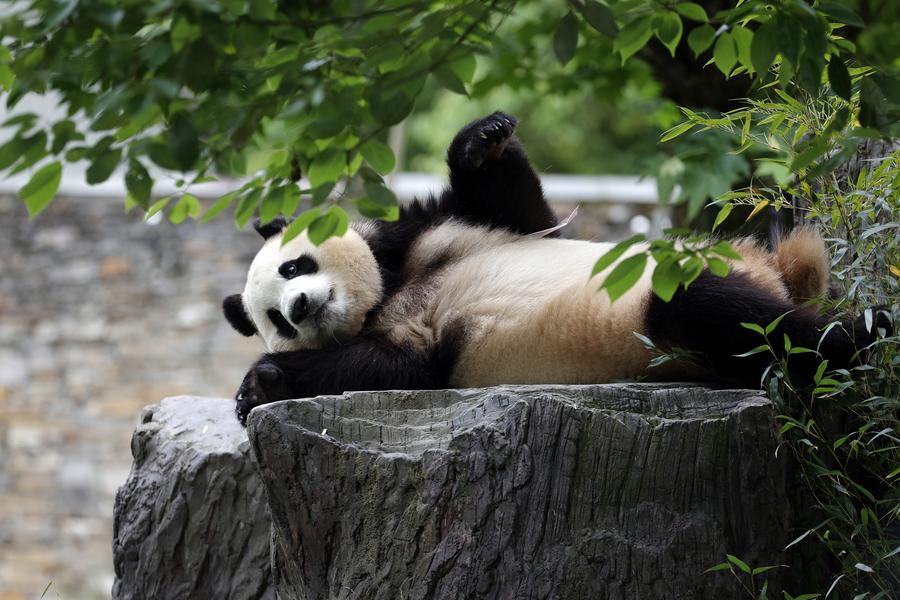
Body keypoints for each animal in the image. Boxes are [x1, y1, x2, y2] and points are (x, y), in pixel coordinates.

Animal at [223, 111, 882, 424]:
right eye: (276, 320)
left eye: (293, 267)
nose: (300, 307)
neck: (387, 293)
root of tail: (776, 273)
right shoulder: (415, 343)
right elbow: (389, 369)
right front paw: (261, 384)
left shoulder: (437, 230)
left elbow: (518, 208)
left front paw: (483, 137)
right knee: (726, 317)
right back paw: (859, 336)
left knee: (734, 312)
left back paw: (863, 331)